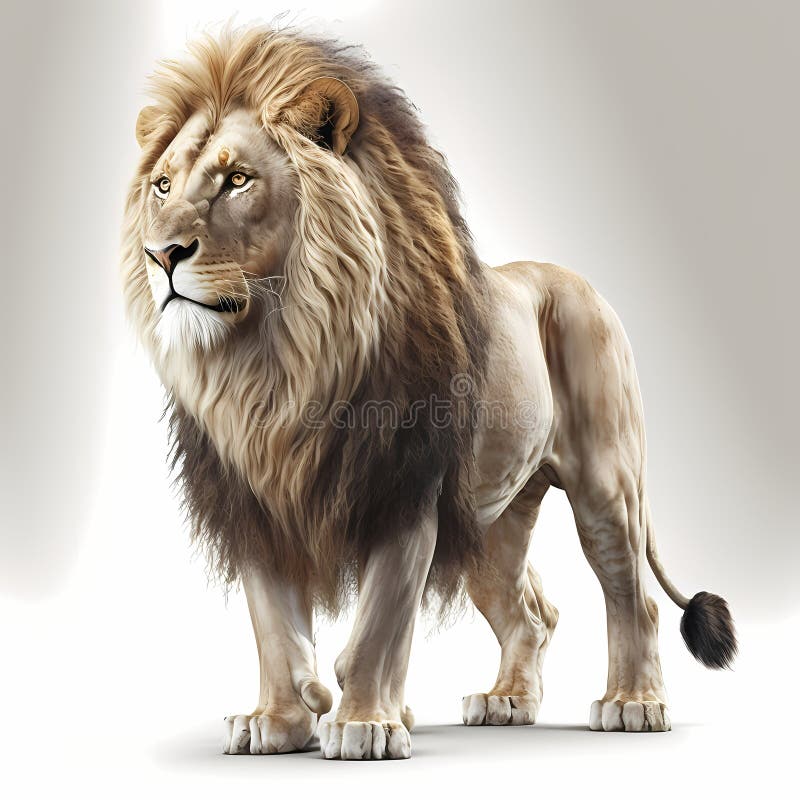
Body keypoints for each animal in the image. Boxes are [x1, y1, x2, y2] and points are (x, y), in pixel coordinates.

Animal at [122, 24, 737, 759]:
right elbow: (272, 623)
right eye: (162, 186)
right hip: (491, 524)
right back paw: (506, 701)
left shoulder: (405, 489)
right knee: (534, 610)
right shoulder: (253, 501)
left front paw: (364, 724)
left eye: (237, 179)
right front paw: (280, 718)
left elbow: (379, 624)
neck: (276, 360)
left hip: (606, 486)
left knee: (631, 595)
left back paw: (633, 704)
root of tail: (582, 283)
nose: (161, 255)